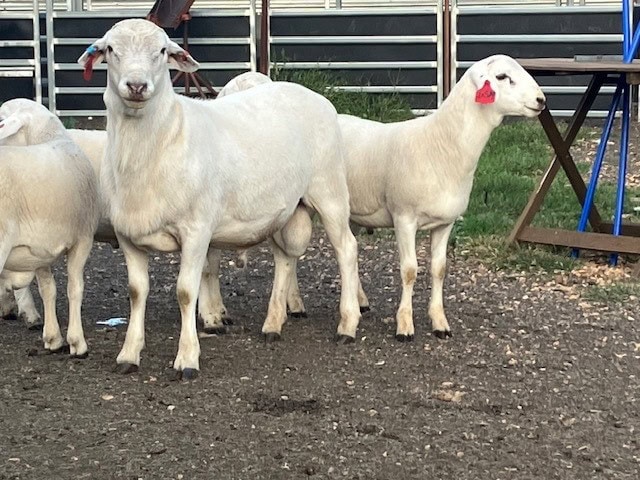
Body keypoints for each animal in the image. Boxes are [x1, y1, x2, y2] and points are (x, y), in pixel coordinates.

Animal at [0, 98, 100, 356]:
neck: (48, 136)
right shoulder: (83, 239)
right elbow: (75, 287)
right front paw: (77, 342)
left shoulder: (39, 250)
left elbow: (48, 289)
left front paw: (53, 338)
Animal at [78, 18, 361, 379]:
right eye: (111, 49)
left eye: (161, 51)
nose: (137, 86)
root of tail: (310, 93)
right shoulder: (129, 234)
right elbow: (136, 293)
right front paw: (129, 354)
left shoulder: (196, 230)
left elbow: (186, 292)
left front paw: (187, 359)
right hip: (285, 207)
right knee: (285, 258)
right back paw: (272, 324)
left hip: (329, 190)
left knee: (346, 249)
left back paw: (347, 325)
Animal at [287, 54, 545, 341]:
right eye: (501, 77)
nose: (541, 100)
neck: (442, 144)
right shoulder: (404, 218)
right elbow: (409, 270)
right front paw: (404, 325)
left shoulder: (445, 223)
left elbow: (439, 269)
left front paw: (440, 322)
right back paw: (295, 305)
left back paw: (358, 300)